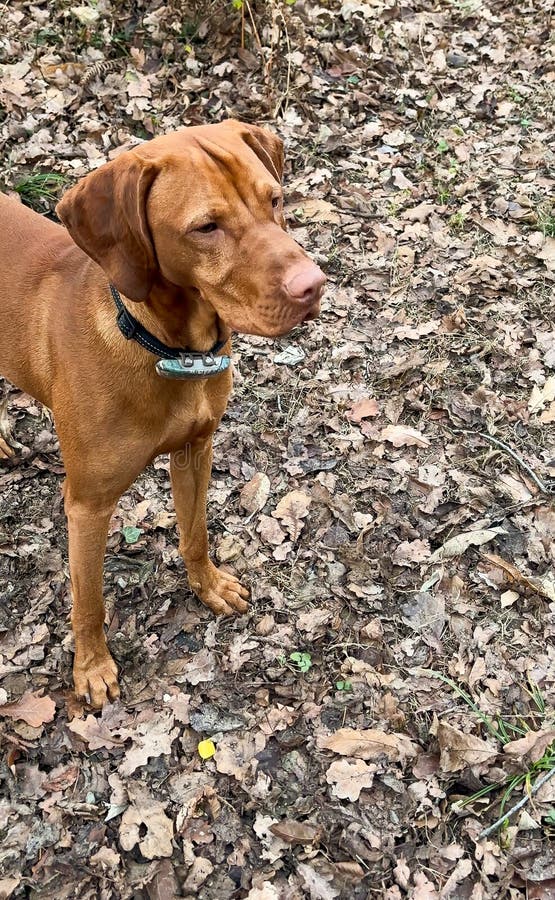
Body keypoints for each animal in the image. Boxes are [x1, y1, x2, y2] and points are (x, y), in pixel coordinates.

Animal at [0, 120, 326, 706]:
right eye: (206, 227)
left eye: (275, 199)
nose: (313, 286)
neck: (168, 349)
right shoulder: (87, 504)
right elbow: (88, 600)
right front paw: (92, 667)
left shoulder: (196, 450)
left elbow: (195, 534)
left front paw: (209, 586)